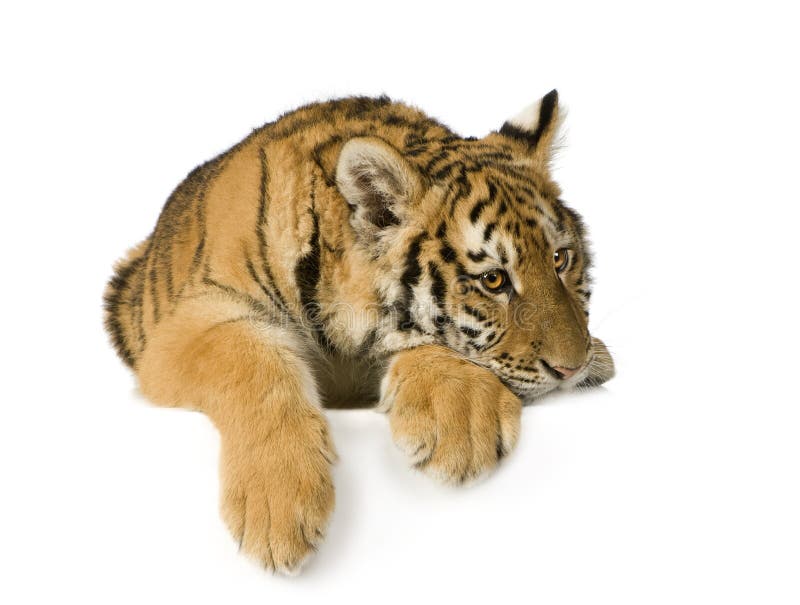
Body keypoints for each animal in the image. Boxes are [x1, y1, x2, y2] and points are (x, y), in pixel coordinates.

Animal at [104, 90, 614, 574]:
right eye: (493, 280)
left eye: (560, 259)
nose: (572, 368)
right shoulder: (189, 323)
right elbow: (249, 359)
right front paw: (279, 506)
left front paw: (461, 418)